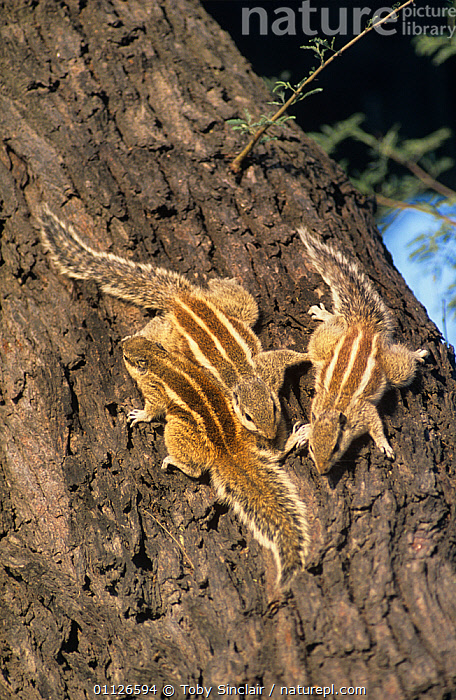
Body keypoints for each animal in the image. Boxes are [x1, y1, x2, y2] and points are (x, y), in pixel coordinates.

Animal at [38, 206, 307, 441]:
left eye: (274, 408)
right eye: (248, 417)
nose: (270, 435)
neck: (244, 378)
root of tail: (180, 301)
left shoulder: (268, 370)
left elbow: (286, 355)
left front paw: (306, 355)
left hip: (239, 308)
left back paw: (219, 280)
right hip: (168, 333)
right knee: (152, 331)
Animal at [122, 335, 310, 588]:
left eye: (126, 357)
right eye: (136, 340)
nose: (121, 344)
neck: (160, 360)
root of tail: (228, 451)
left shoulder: (154, 393)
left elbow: (152, 410)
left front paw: (139, 415)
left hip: (175, 430)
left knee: (195, 469)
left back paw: (174, 461)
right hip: (252, 434)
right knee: (274, 452)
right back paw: (291, 439)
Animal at [297, 227, 427, 474]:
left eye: (336, 448)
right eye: (311, 448)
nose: (321, 471)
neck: (332, 409)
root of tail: (361, 326)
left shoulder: (364, 412)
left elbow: (376, 426)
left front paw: (384, 445)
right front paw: (305, 431)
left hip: (393, 369)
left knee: (403, 364)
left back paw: (416, 354)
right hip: (320, 347)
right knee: (335, 323)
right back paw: (325, 314)